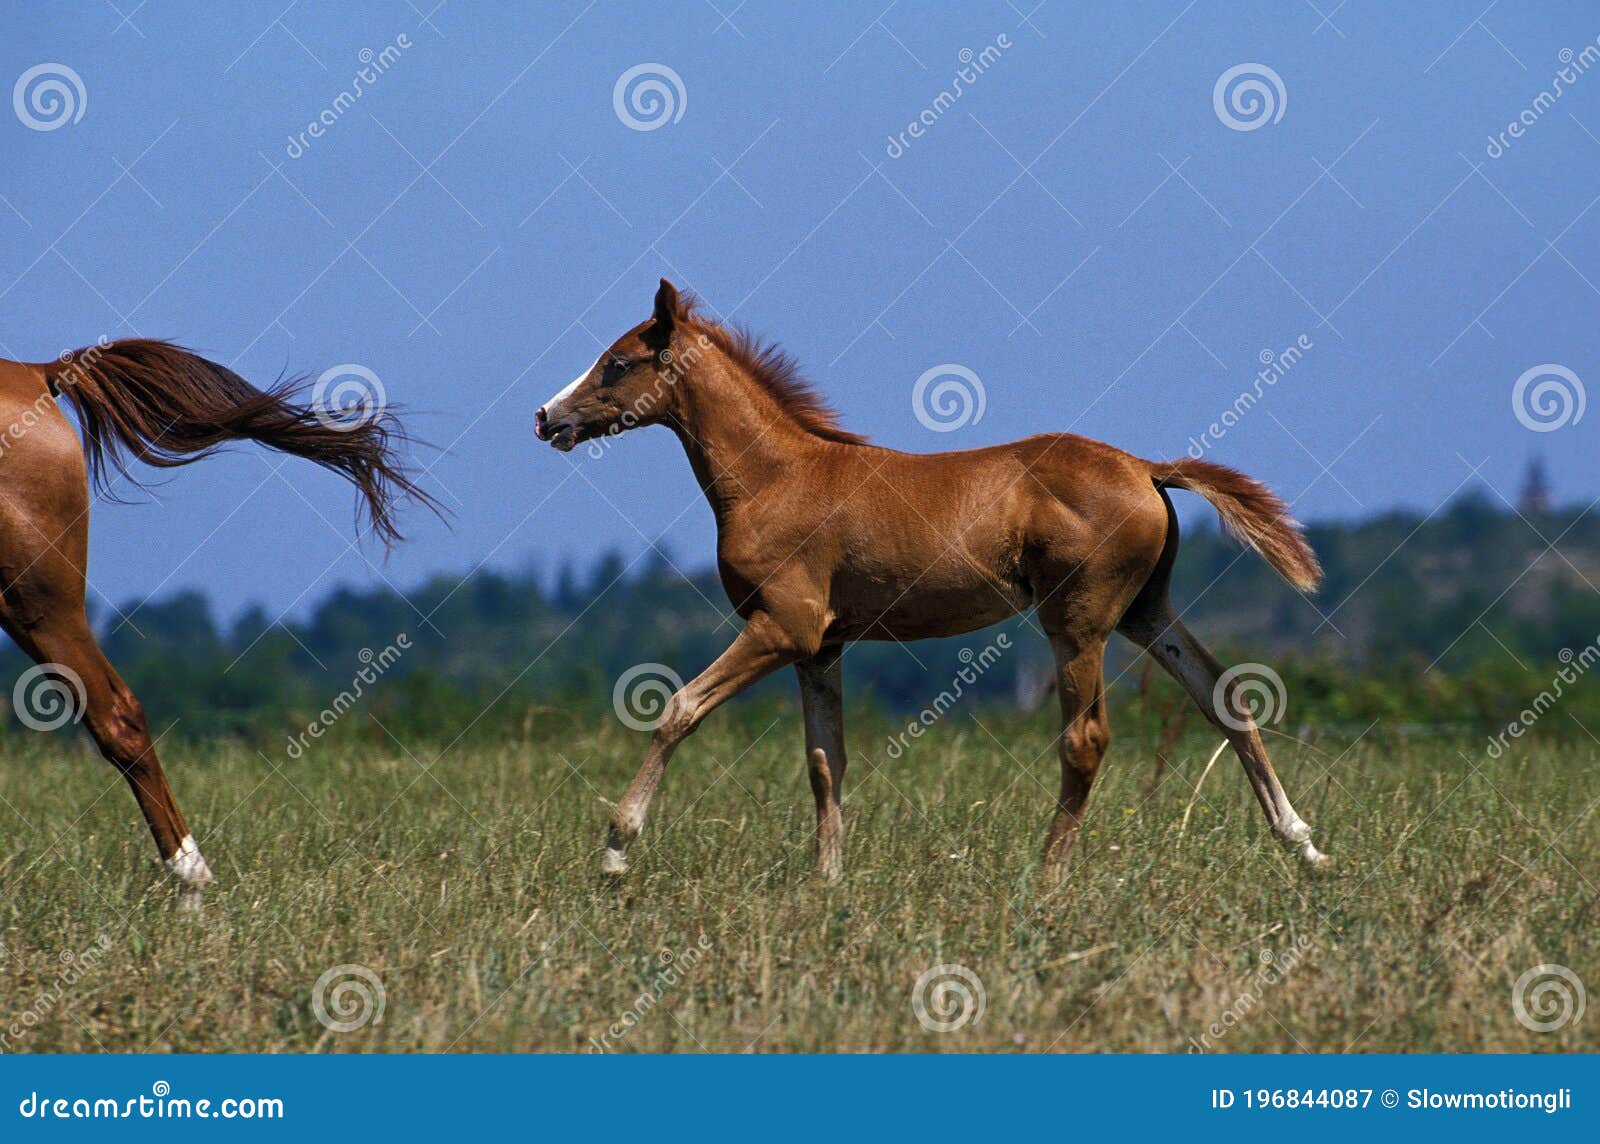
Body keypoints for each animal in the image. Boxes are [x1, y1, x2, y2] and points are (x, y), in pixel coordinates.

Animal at [536, 279, 1328, 884]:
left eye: (615, 364)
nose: (546, 416)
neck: (775, 478)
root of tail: (1147, 468)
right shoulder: (821, 648)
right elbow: (825, 760)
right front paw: (829, 882)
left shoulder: (781, 628)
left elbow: (678, 709)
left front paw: (615, 850)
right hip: (1145, 610)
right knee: (1225, 698)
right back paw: (1303, 844)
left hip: (1077, 619)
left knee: (1087, 738)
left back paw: (1048, 875)